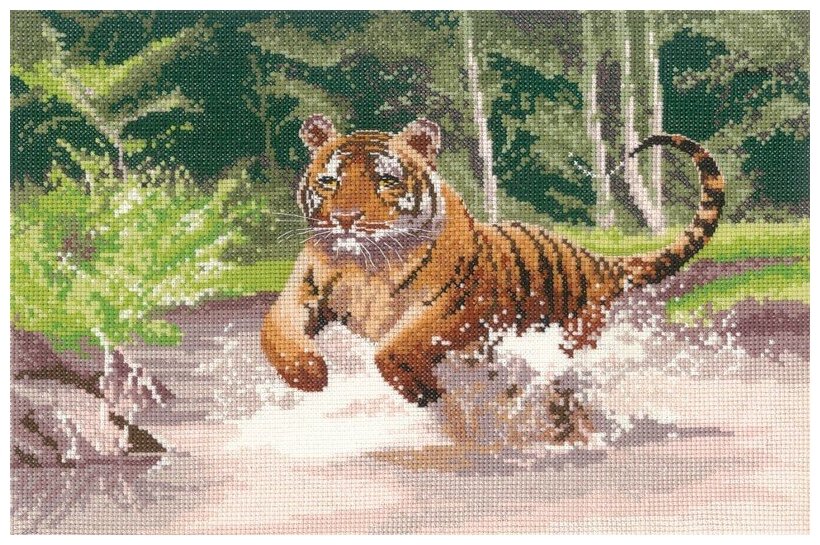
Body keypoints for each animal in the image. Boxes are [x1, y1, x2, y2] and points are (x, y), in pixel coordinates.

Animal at [260, 114, 725, 411]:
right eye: (329, 181)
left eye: (386, 181)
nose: (344, 218)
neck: (368, 265)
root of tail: (595, 260)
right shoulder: (304, 289)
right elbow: (275, 331)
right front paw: (309, 373)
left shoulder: (456, 303)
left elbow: (398, 345)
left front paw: (423, 391)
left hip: (572, 333)